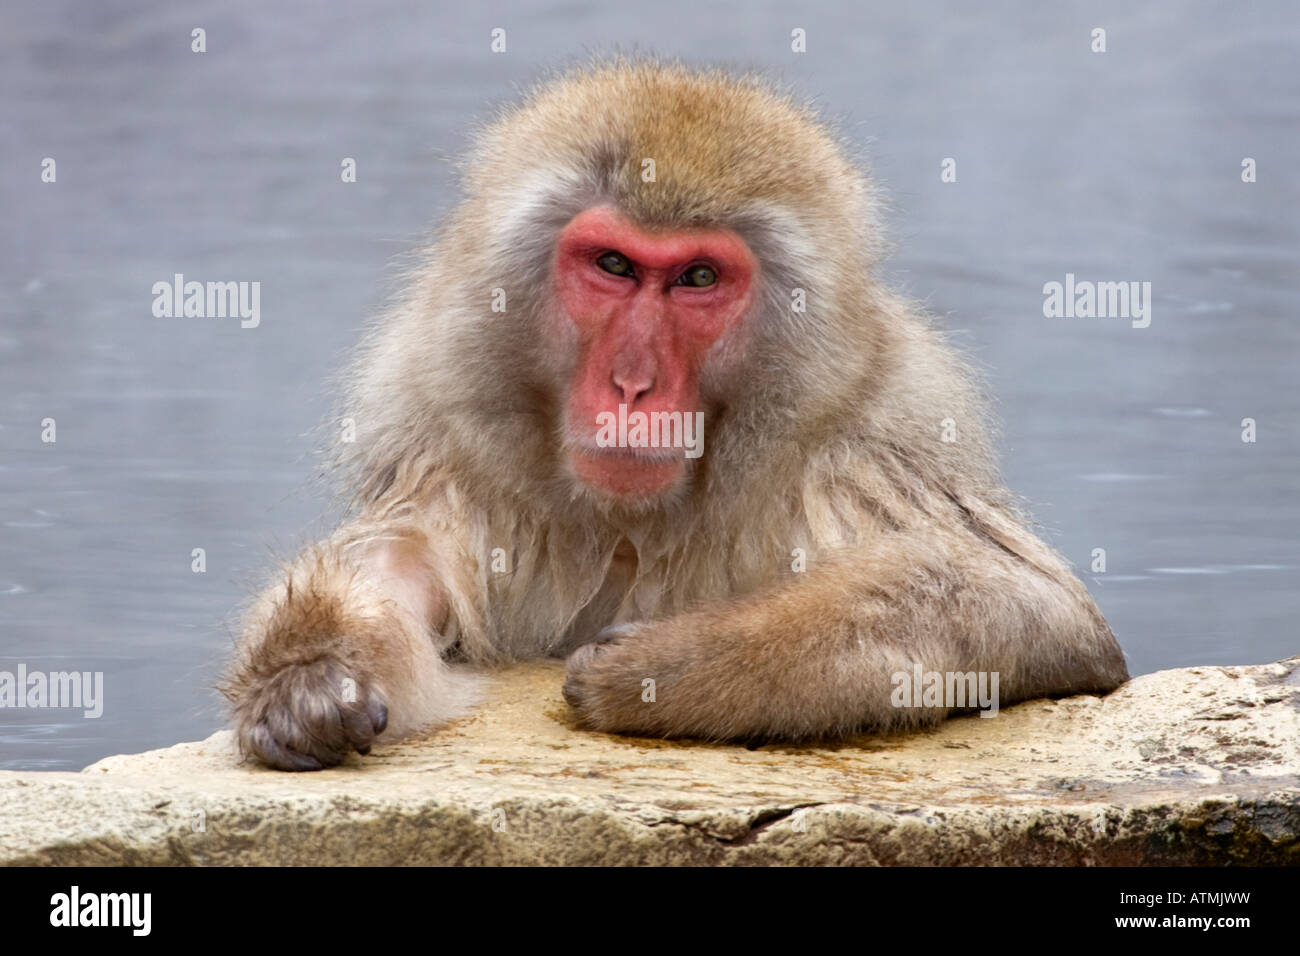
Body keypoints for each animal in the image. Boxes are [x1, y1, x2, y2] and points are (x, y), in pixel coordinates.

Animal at [221, 59, 1128, 771]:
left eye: (696, 278)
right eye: (615, 266)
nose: (634, 385)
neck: (637, 523)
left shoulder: (864, 448)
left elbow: (1026, 600)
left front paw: (665, 672)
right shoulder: (449, 442)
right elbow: (400, 561)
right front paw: (309, 673)